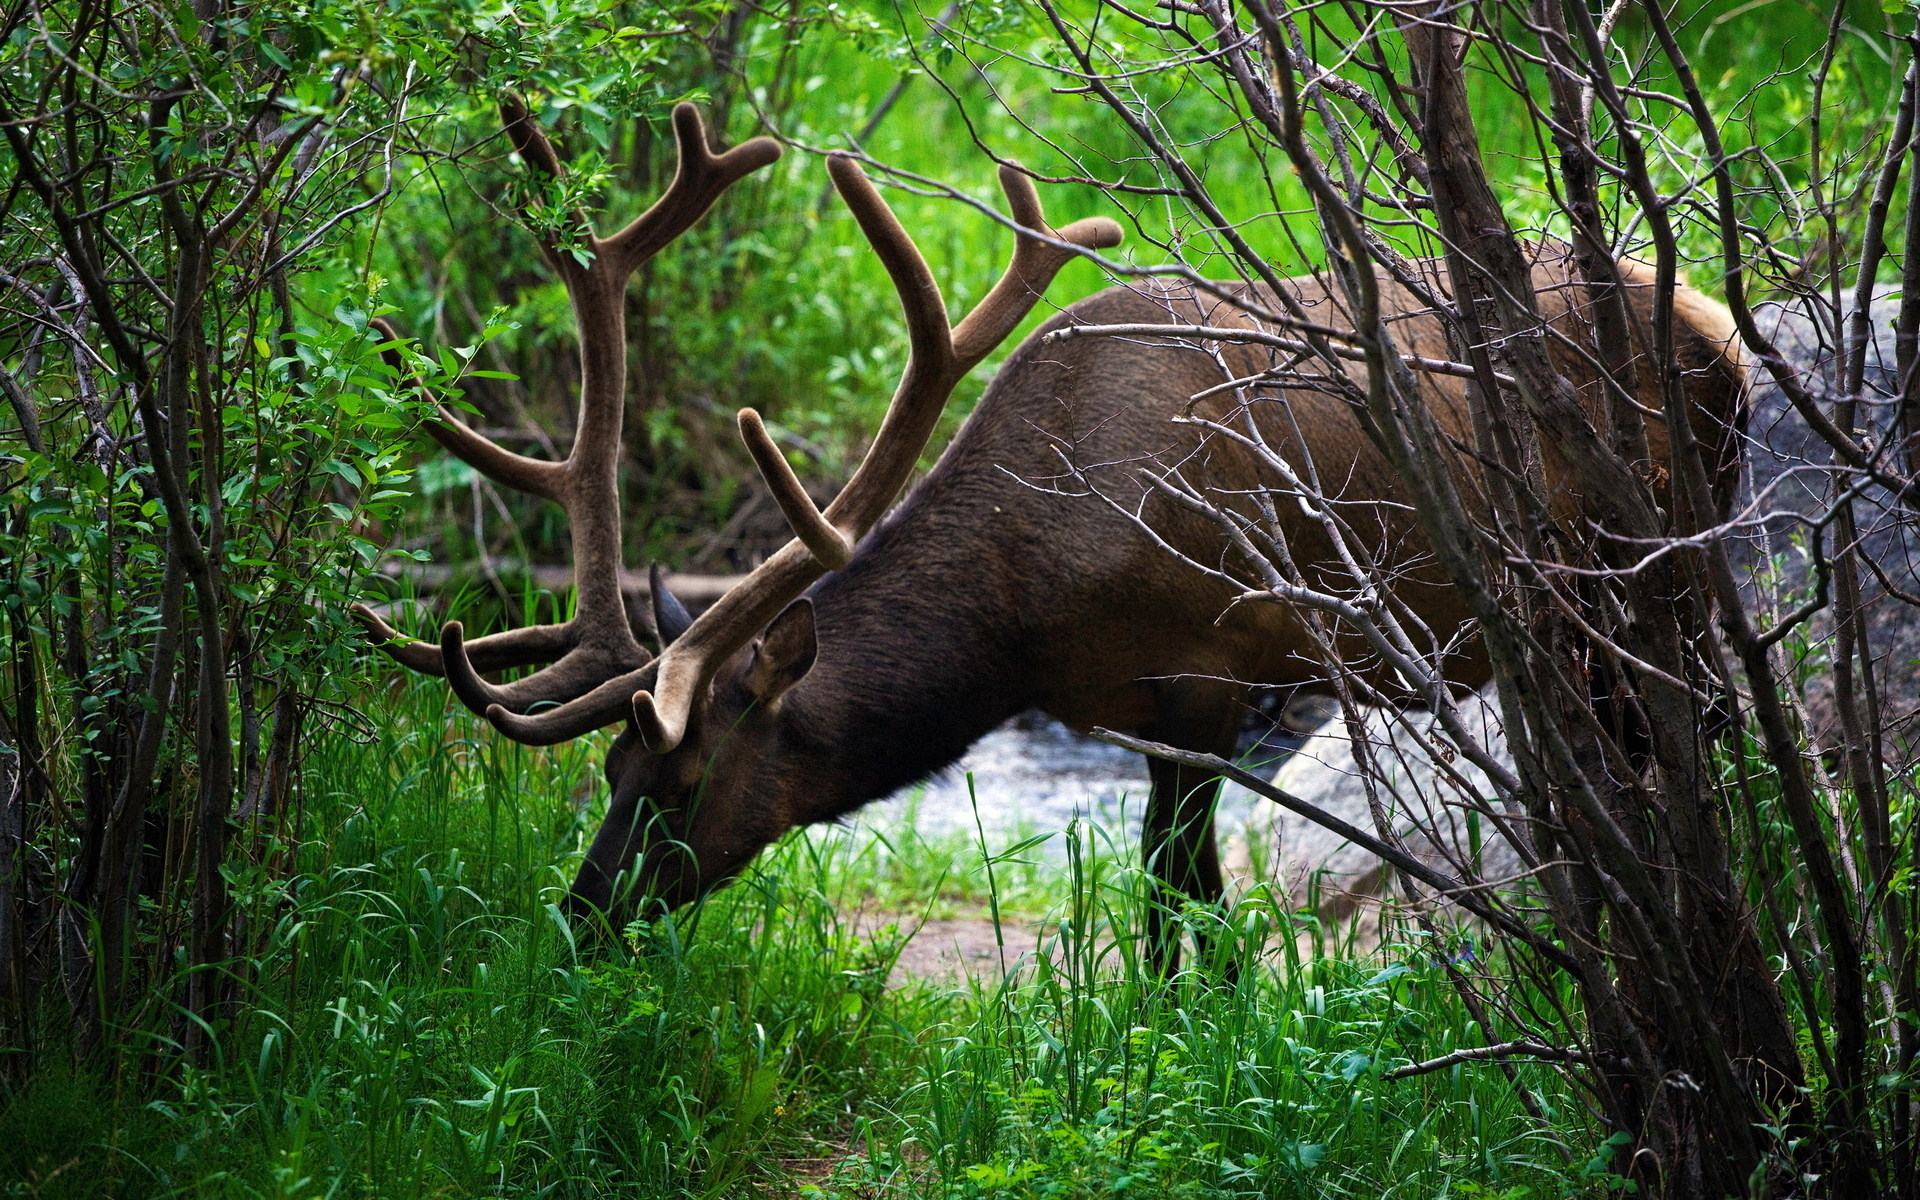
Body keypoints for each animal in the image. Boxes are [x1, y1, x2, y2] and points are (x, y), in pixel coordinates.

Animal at [354, 98, 1747, 969]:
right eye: (607, 773)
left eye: (683, 782)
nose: (580, 920)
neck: (1027, 617)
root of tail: (1716, 323)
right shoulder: (1130, 706)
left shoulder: (1209, 668)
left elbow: (1179, 901)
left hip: (1650, 573)